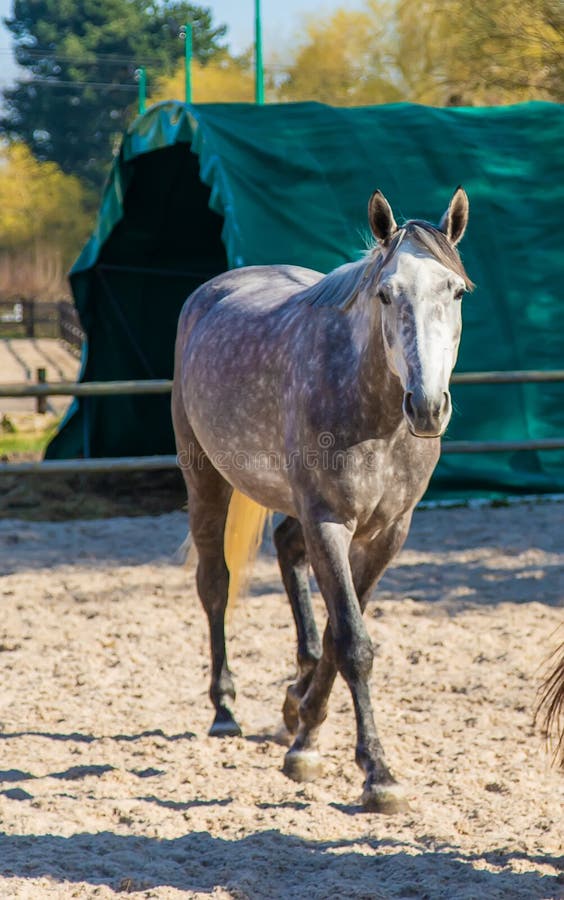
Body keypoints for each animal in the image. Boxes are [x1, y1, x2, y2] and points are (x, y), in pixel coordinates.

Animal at [171, 187, 472, 813]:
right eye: (385, 293)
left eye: (455, 291)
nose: (428, 407)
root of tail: (214, 290)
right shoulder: (330, 521)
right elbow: (353, 642)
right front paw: (376, 772)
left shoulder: (389, 532)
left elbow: (341, 631)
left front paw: (306, 725)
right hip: (206, 479)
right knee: (215, 584)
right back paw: (224, 708)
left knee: (288, 551)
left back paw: (295, 687)